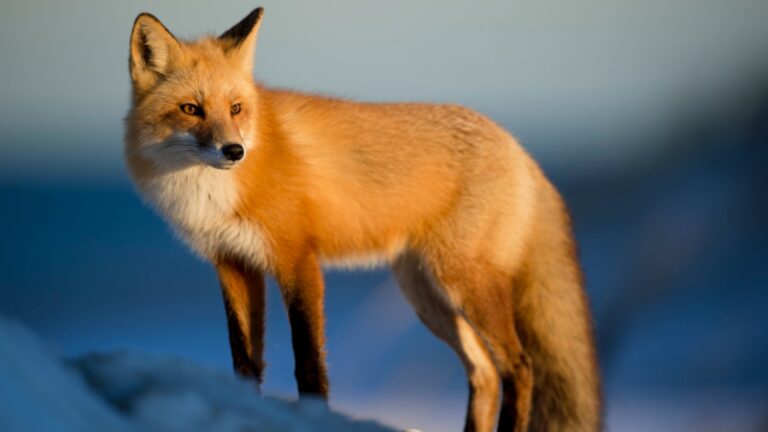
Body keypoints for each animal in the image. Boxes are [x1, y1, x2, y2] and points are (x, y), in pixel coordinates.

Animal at [124, 7, 601, 432]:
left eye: (236, 108)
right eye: (191, 109)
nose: (234, 151)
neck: (210, 191)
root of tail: (519, 148)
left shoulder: (298, 260)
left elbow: (309, 363)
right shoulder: (233, 264)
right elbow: (245, 362)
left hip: (464, 284)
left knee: (519, 367)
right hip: (427, 296)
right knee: (484, 373)